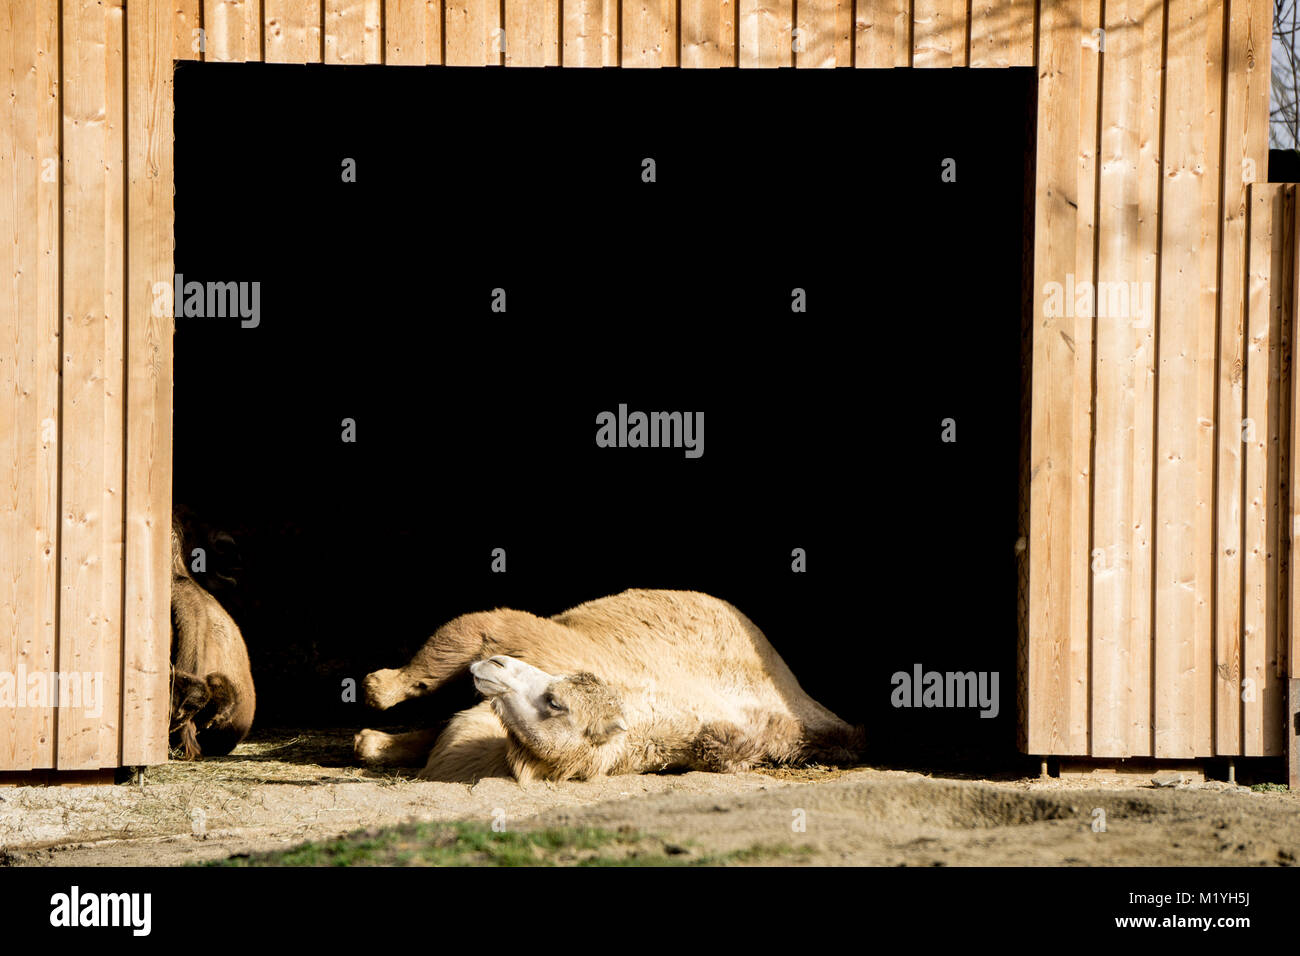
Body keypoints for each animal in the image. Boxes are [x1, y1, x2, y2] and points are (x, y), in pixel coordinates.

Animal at [355, 589, 863, 782]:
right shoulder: (564, 643)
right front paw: (380, 691)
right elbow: (484, 625)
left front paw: (373, 737)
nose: (496, 667)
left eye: (555, 703)